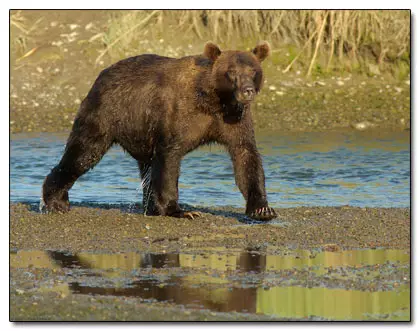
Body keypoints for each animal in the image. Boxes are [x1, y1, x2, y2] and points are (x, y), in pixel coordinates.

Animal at [41, 42, 278, 222]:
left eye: (253, 71)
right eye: (231, 72)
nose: (247, 90)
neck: (215, 100)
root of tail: (100, 74)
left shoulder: (234, 119)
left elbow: (245, 155)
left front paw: (262, 209)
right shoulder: (179, 115)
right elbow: (169, 158)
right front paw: (180, 210)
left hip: (140, 129)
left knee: (145, 167)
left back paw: (150, 206)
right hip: (106, 113)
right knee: (84, 152)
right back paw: (57, 201)